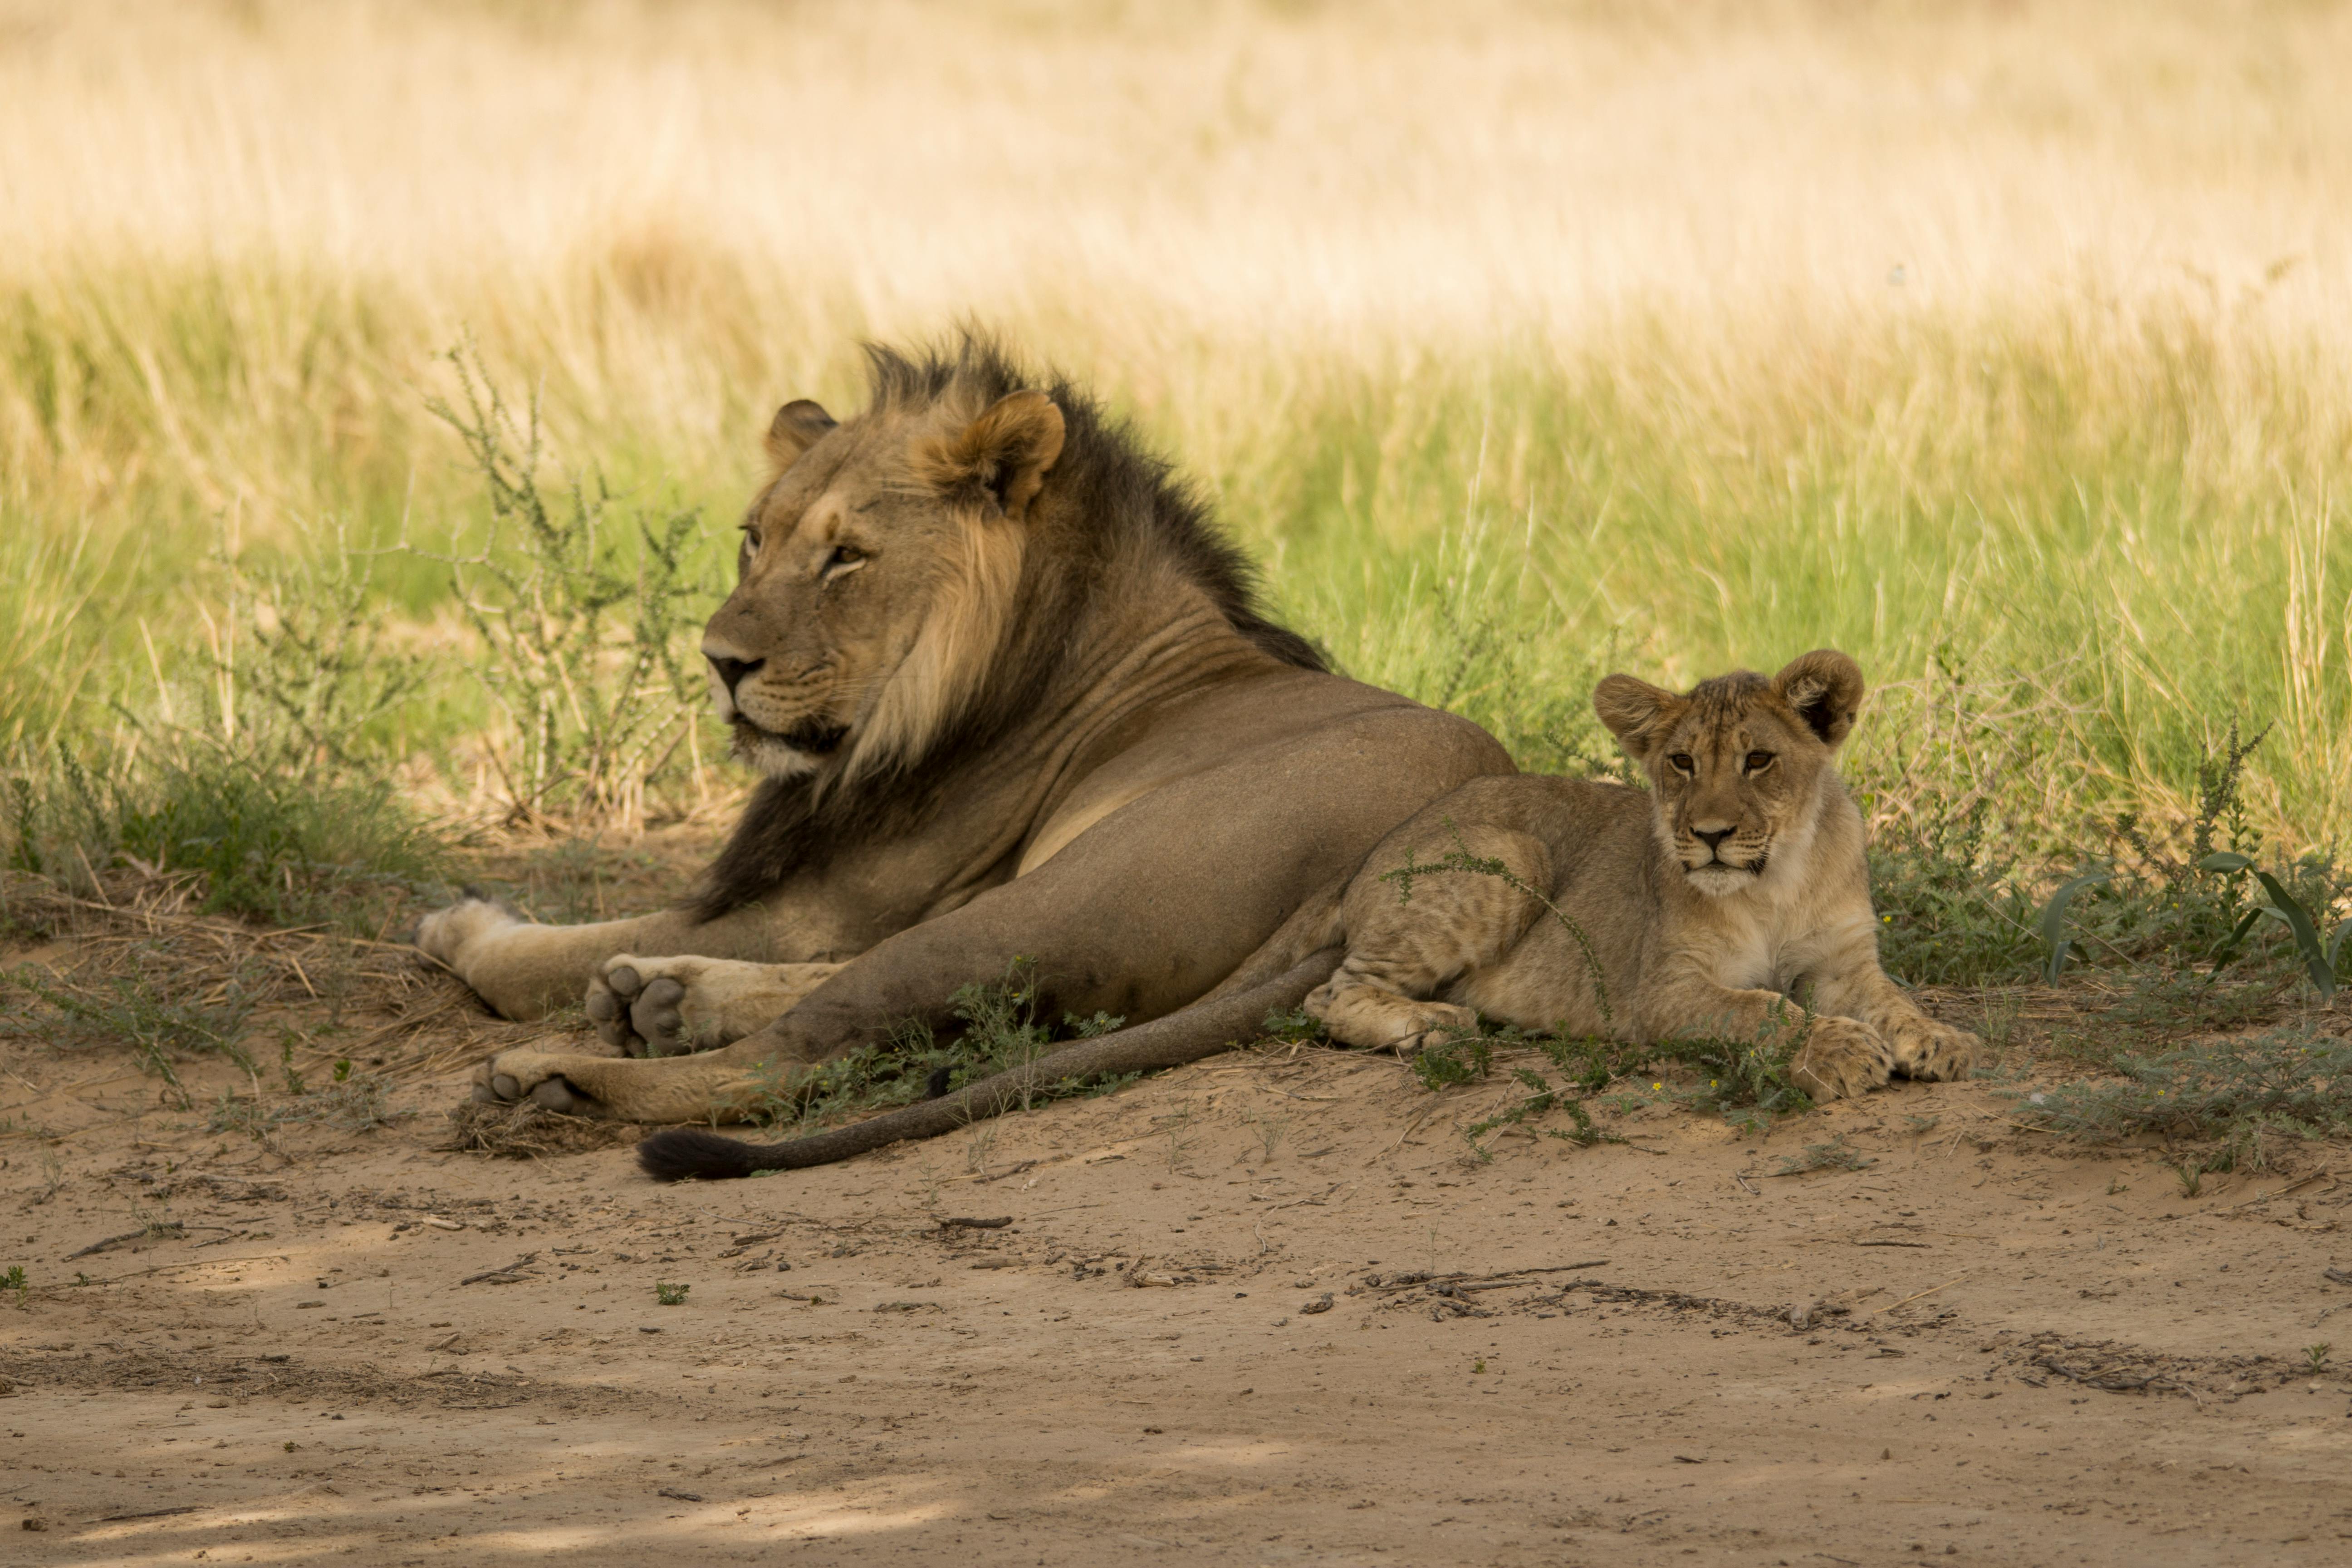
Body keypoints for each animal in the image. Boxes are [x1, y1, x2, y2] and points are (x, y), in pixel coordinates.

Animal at [419, 336, 1513, 1127]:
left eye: (847, 557)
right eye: (753, 540)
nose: (720, 662)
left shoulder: (821, 906)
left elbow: (537, 959)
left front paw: (464, 925)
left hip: (1064, 896)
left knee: (786, 1061)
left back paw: (562, 1077)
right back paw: (661, 1000)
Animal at [634, 648, 1971, 1181]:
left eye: (1760, 762)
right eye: (1679, 765)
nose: (1706, 837)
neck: (1777, 876)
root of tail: (1365, 866)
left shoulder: (1844, 955)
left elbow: (1888, 997)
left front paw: (1936, 1041)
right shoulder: (1661, 990)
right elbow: (1759, 1013)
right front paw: (1837, 1055)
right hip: (1499, 860)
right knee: (1339, 993)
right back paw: (1436, 1029)